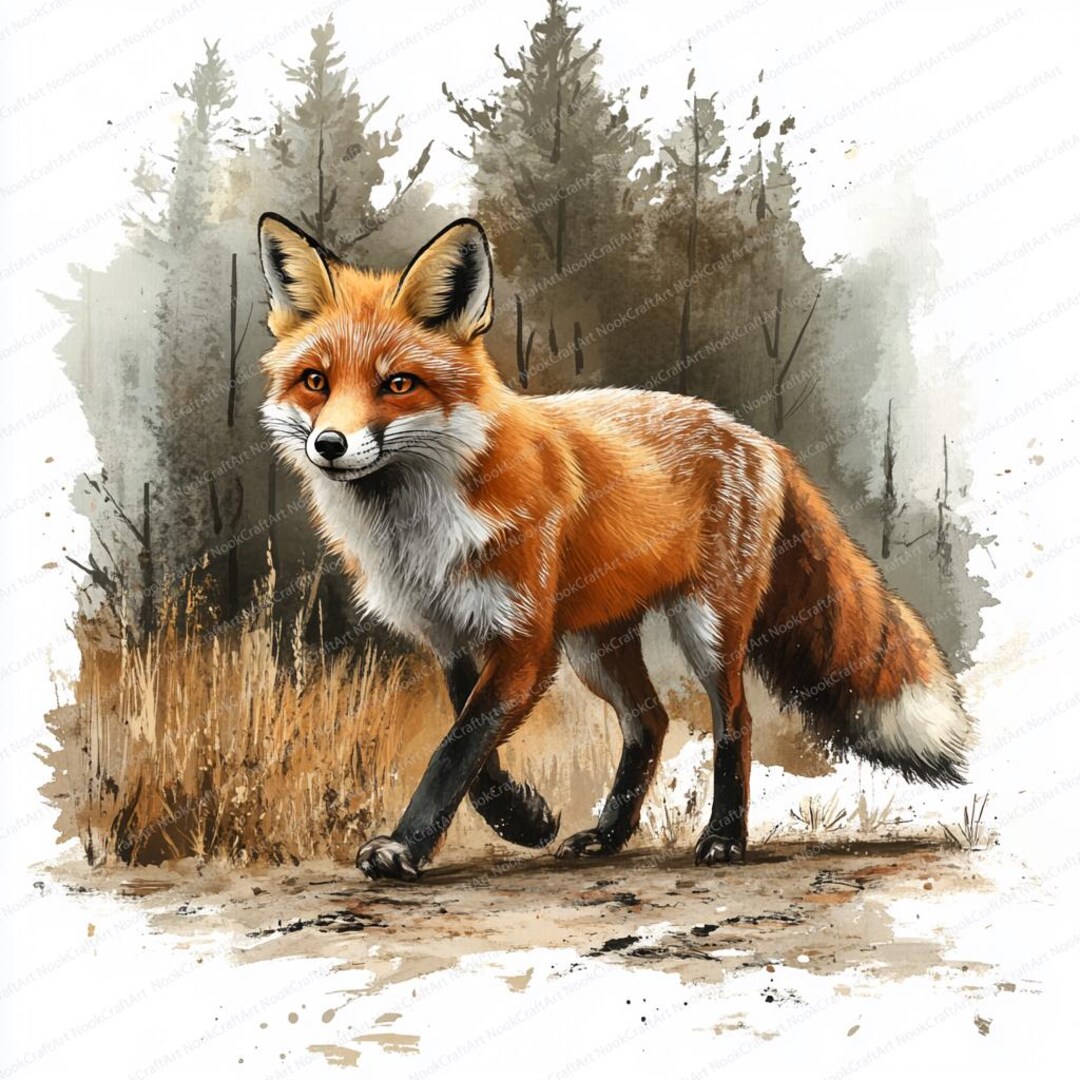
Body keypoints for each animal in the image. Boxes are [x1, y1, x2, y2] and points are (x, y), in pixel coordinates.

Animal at [257, 212, 971, 881]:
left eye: (398, 384)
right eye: (316, 381)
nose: (329, 445)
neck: (418, 531)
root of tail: (758, 437)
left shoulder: (525, 639)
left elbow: (455, 747)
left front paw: (406, 846)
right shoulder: (452, 634)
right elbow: (473, 750)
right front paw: (522, 819)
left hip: (704, 628)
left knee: (735, 720)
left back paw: (724, 838)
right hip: (596, 646)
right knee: (649, 722)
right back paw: (607, 834)